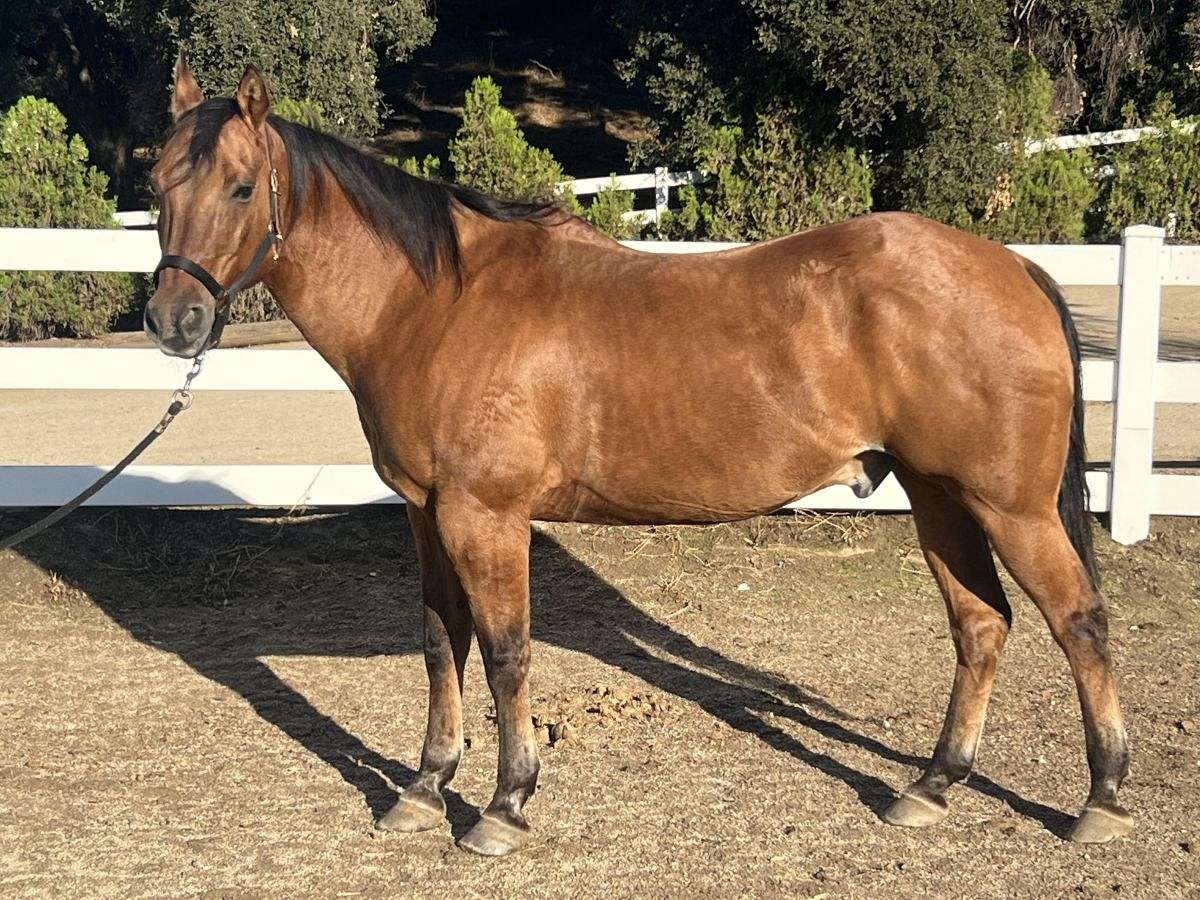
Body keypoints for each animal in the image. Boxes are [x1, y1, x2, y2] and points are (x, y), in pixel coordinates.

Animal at [142, 57, 1132, 856]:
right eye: (157, 183)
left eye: (240, 187)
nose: (172, 321)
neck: (437, 305)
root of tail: (1013, 267)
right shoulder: (427, 514)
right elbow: (440, 643)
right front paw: (424, 789)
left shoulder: (484, 516)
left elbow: (505, 653)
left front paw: (505, 806)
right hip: (938, 497)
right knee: (981, 626)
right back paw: (932, 786)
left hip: (1009, 506)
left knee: (1078, 620)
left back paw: (1103, 799)